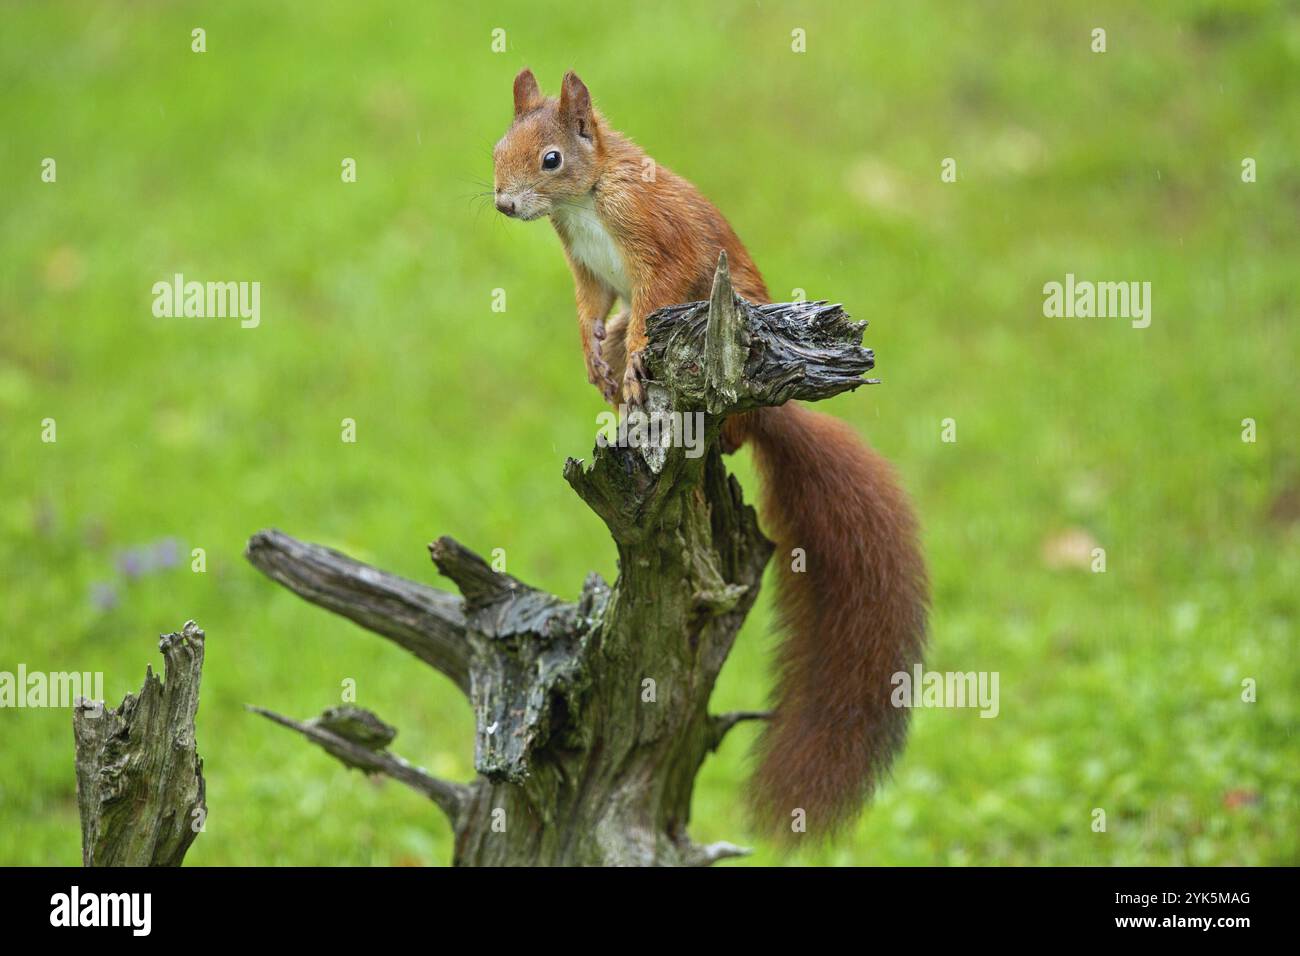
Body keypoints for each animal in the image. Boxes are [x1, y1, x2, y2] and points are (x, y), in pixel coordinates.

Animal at [493, 69, 928, 839]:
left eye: (549, 159)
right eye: (497, 148)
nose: (504, 203)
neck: (588, 196)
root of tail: (759, 416)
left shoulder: (656, 245)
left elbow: (651, 299)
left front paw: (639, 349)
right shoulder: (585, 266)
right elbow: (592, 305)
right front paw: (592, 353)